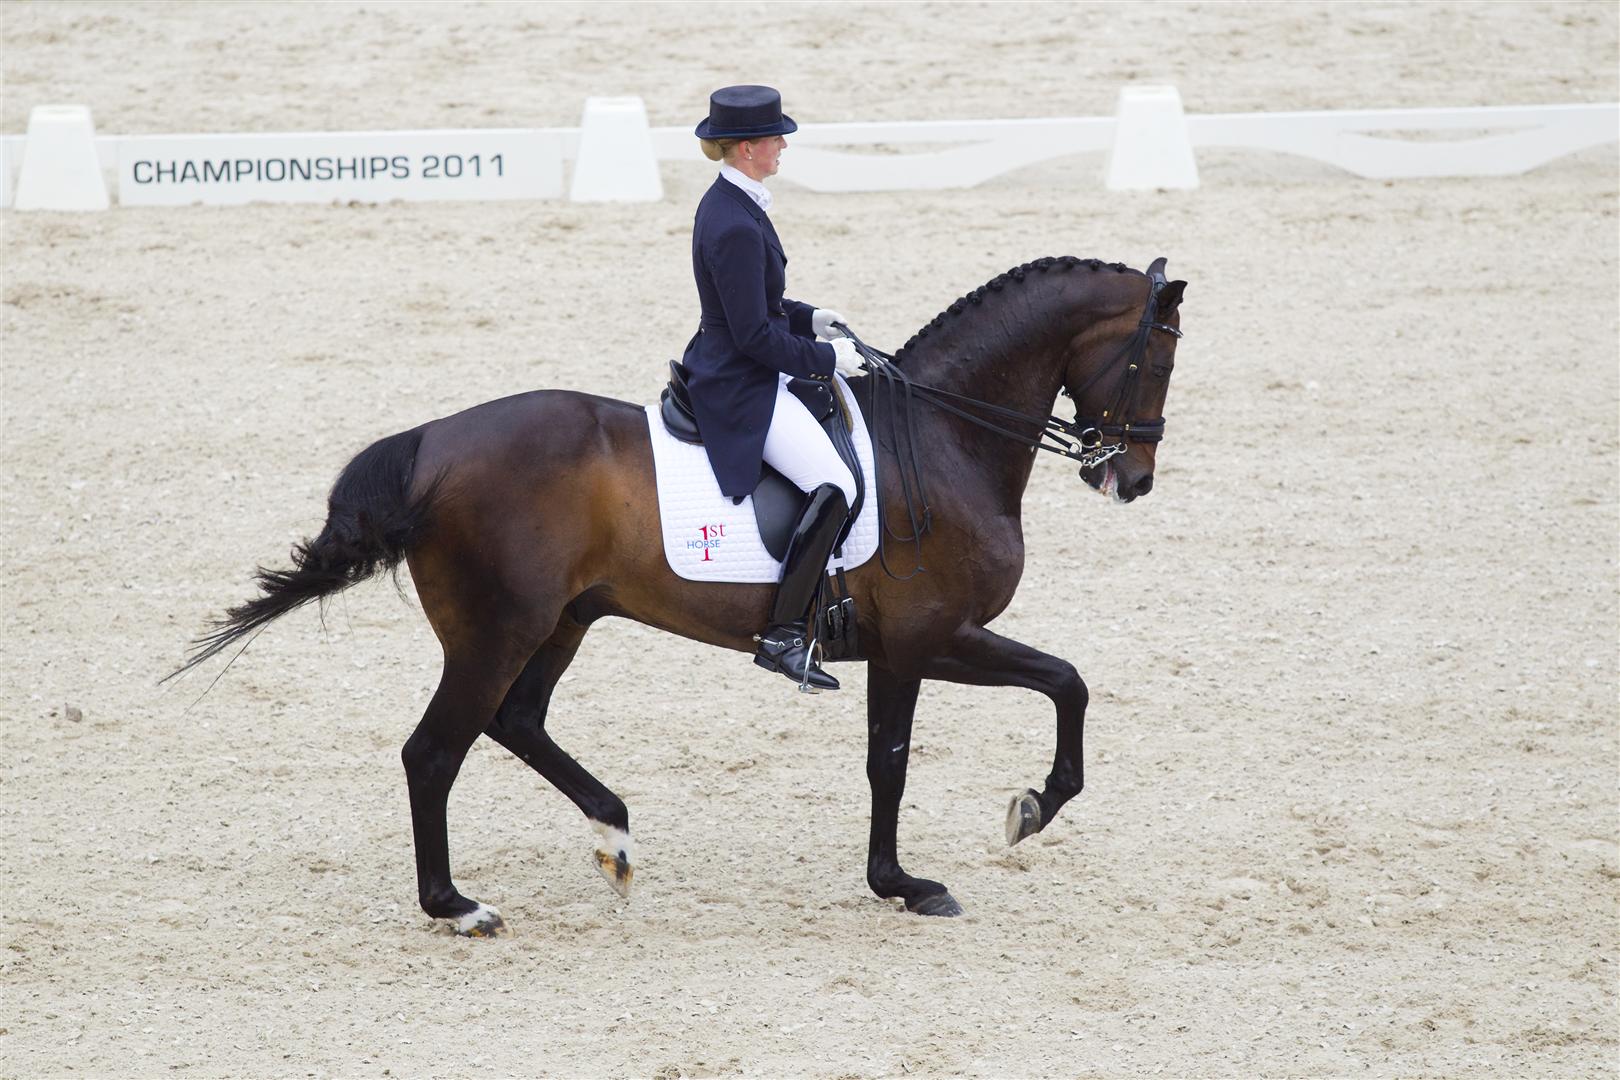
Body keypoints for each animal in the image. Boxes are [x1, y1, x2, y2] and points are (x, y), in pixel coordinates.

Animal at [171, 255, 1186, 936]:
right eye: (1156, 360)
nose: (1131, 479)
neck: (941, 439)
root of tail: (432, 442)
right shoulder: (931, 637)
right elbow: (1032, 699)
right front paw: (994, 830)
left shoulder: (911, 647)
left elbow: (923, 746)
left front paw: (929, 864)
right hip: (499, 630)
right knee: (435, 751)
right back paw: (458, 906)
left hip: (562, 620)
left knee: (516, 722)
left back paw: (614, 837)